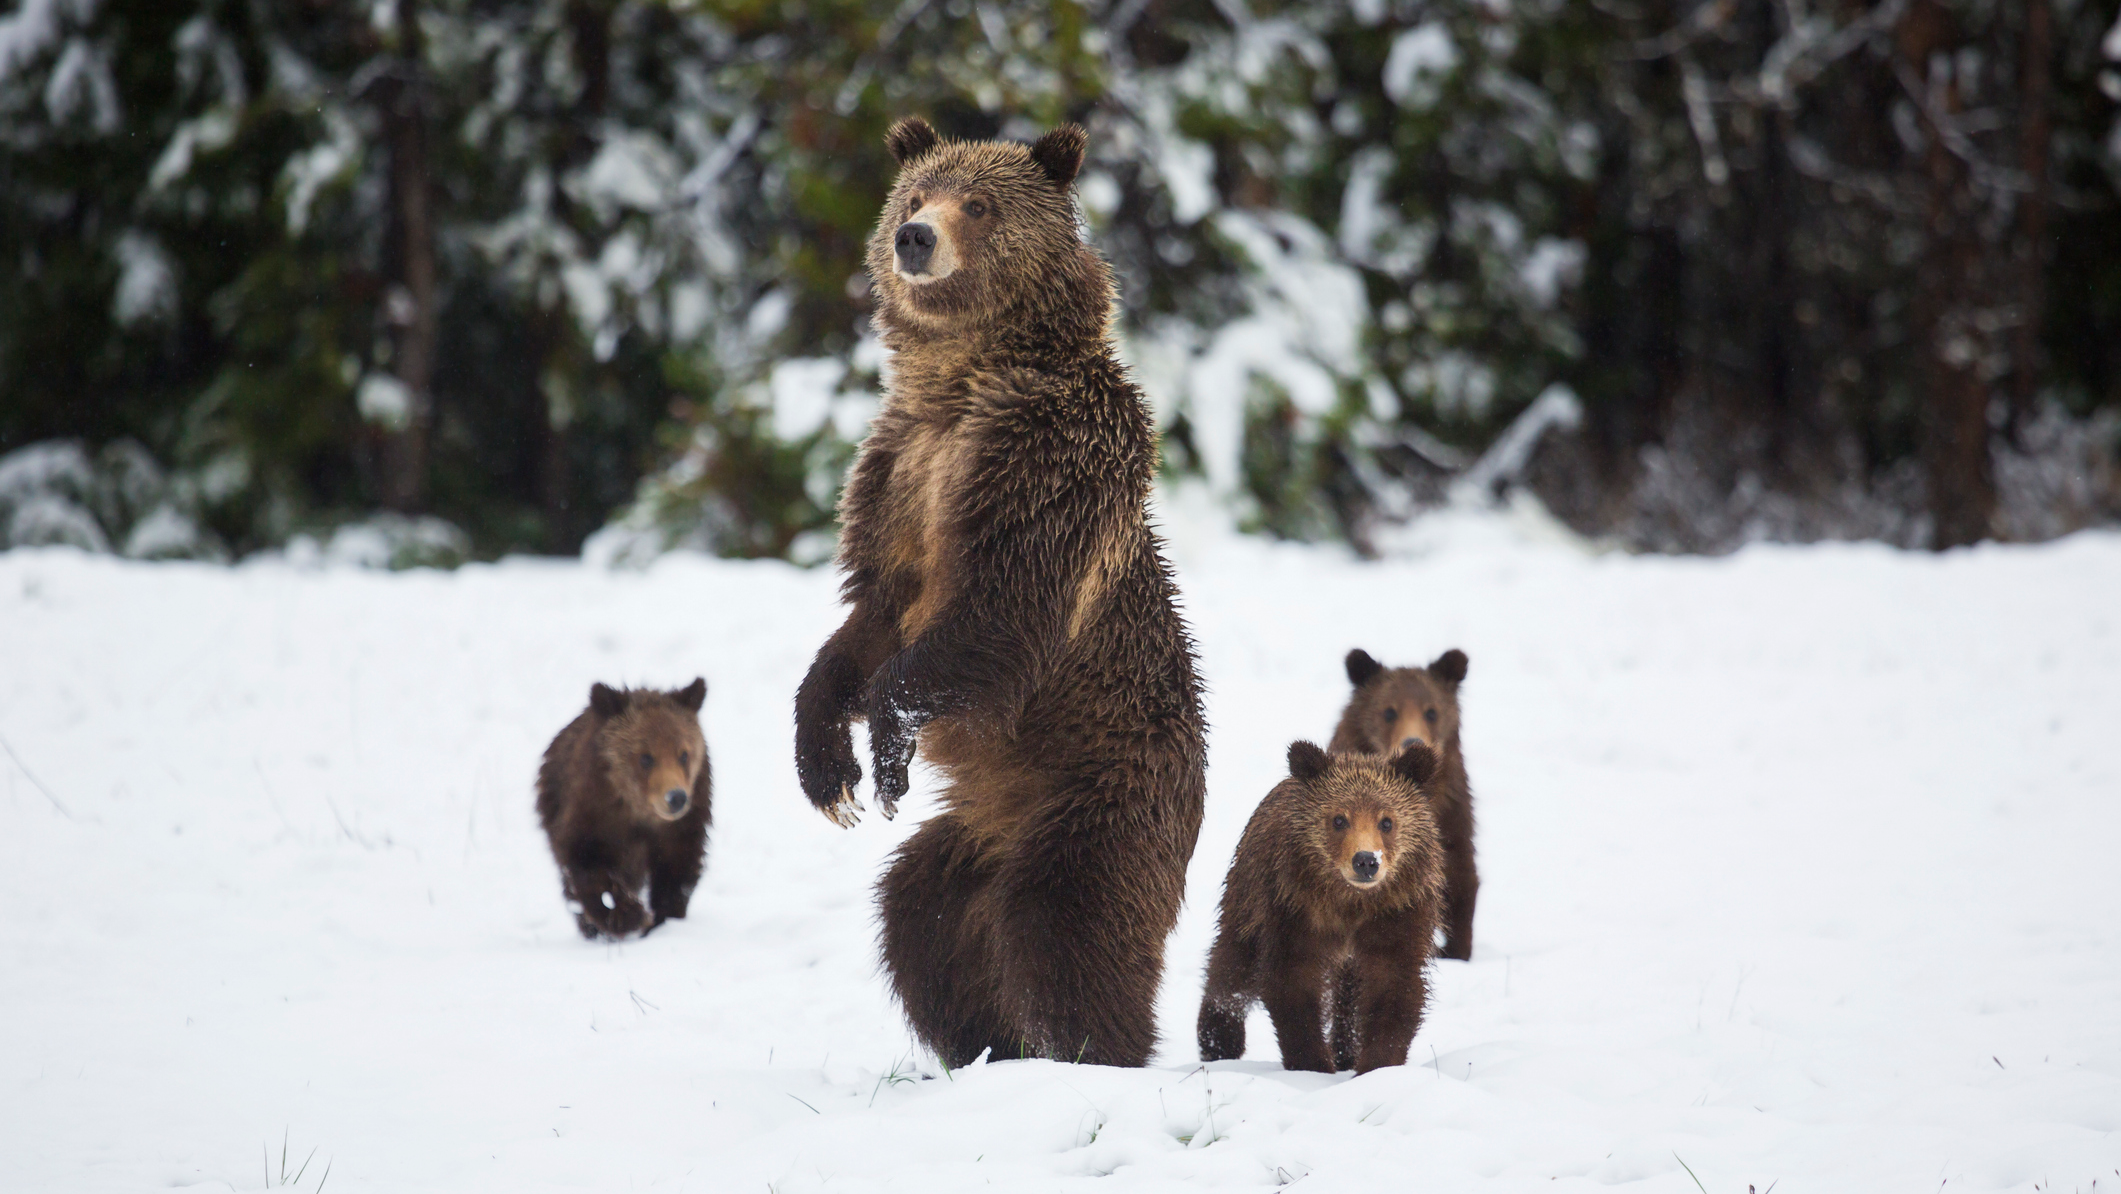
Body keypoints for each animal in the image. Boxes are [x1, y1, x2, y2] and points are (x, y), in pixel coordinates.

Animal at [536, 678, 711, 940]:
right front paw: (626, 915)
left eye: (683, 754)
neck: (636, 810)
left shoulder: (682, 828)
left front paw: (663, 920)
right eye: (646, 757)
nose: (676, 797)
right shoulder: (591, 816)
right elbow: (587, 866)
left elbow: (677, 873)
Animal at [791, 117, 1207, 1069]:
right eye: (915, 194)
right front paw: (830, 773)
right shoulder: (899, 475)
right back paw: (984, 1049)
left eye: (978, 204)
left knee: (1065, 926)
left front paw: (887, 749)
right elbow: (866, 621)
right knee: (921, 922)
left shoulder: (1041, 466)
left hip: (1098, 796)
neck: (963, 382)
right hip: (973, 833)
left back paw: (1094, 1052)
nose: (915, 238)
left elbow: (996, 613)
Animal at [1196, 740, 1446, 1075]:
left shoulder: (1397, 912)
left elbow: (1394, 986)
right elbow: (1292, 980)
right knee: (1233, 965)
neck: (1349, 902)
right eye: (1339, 819)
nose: (1366, 860)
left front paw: (1377, 1065)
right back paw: (1218, 1039)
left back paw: (1345, 1051)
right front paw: (1311, 1064)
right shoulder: (1294, 908)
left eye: (1387, 821)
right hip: (1246, 893)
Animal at [1330, 647, 1478, 960]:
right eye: (1389, 711)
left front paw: (1457, 951)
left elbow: (1459, 875)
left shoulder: (1451, 813)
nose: (1413, 742)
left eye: (1431, 711)